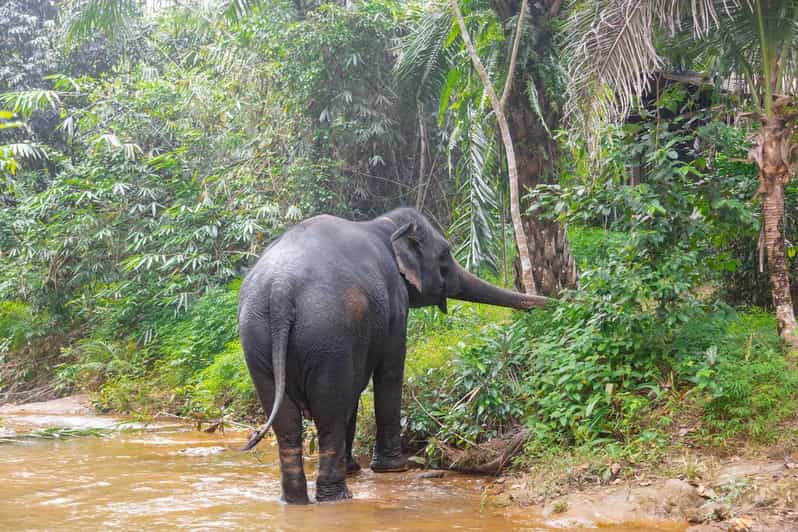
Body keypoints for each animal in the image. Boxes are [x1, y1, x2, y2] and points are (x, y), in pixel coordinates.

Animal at [237, 207, 548, 504]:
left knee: (287, 422)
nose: (551, 302)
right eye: (445, 254)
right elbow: (390, 370)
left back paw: (295, 500)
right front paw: (394, 468)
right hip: (327, 334)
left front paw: (357, 467)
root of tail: (281, 289)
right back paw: (338, 497)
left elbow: (354, 392)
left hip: (258, 340)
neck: (384, 224)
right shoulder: (396, 303)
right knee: (329, 412)